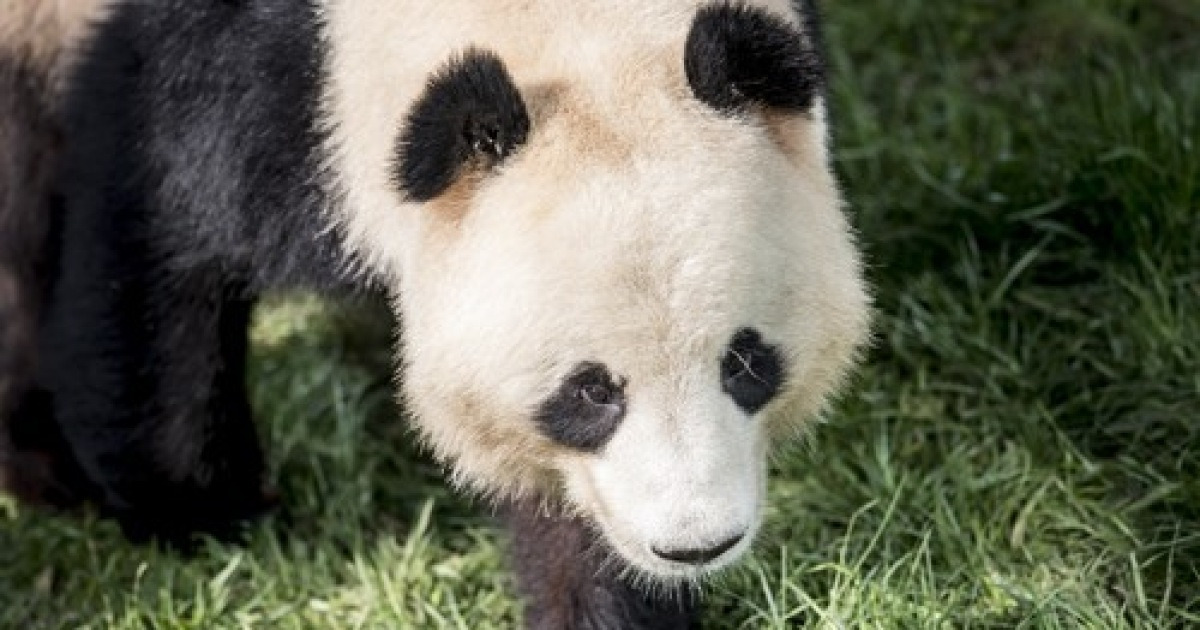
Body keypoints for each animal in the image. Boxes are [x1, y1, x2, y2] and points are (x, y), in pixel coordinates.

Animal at [4, 0, 870, 627]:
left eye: (747, 363)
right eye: (591, 391)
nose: (696, 544)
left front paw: (601, 601)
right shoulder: (234, 77)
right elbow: (151, 243)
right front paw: (209, 517)